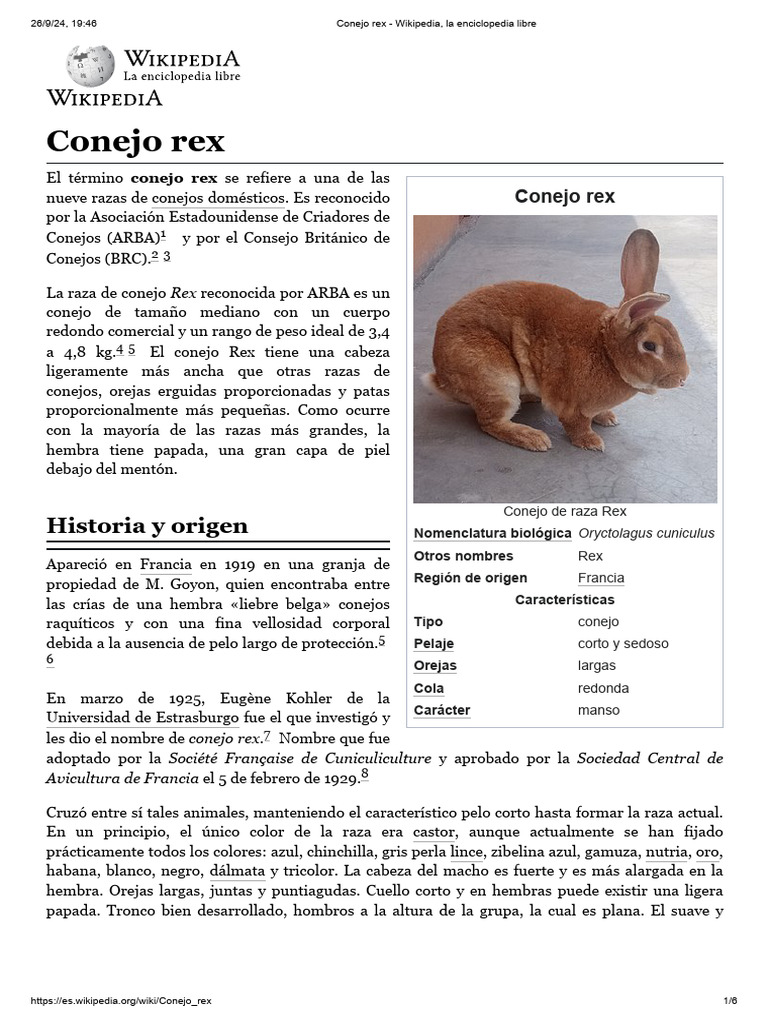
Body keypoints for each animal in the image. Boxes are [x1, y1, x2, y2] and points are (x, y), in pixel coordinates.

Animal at [422, 229, 689, 452]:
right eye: (650, 346)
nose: (683, 378)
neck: (607, 352)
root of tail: (442, 378)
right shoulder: (573, 406)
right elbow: (577, 425)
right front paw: (592, 443)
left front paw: (608, 418)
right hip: (495, 379)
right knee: (490, 423)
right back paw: (535, 439)